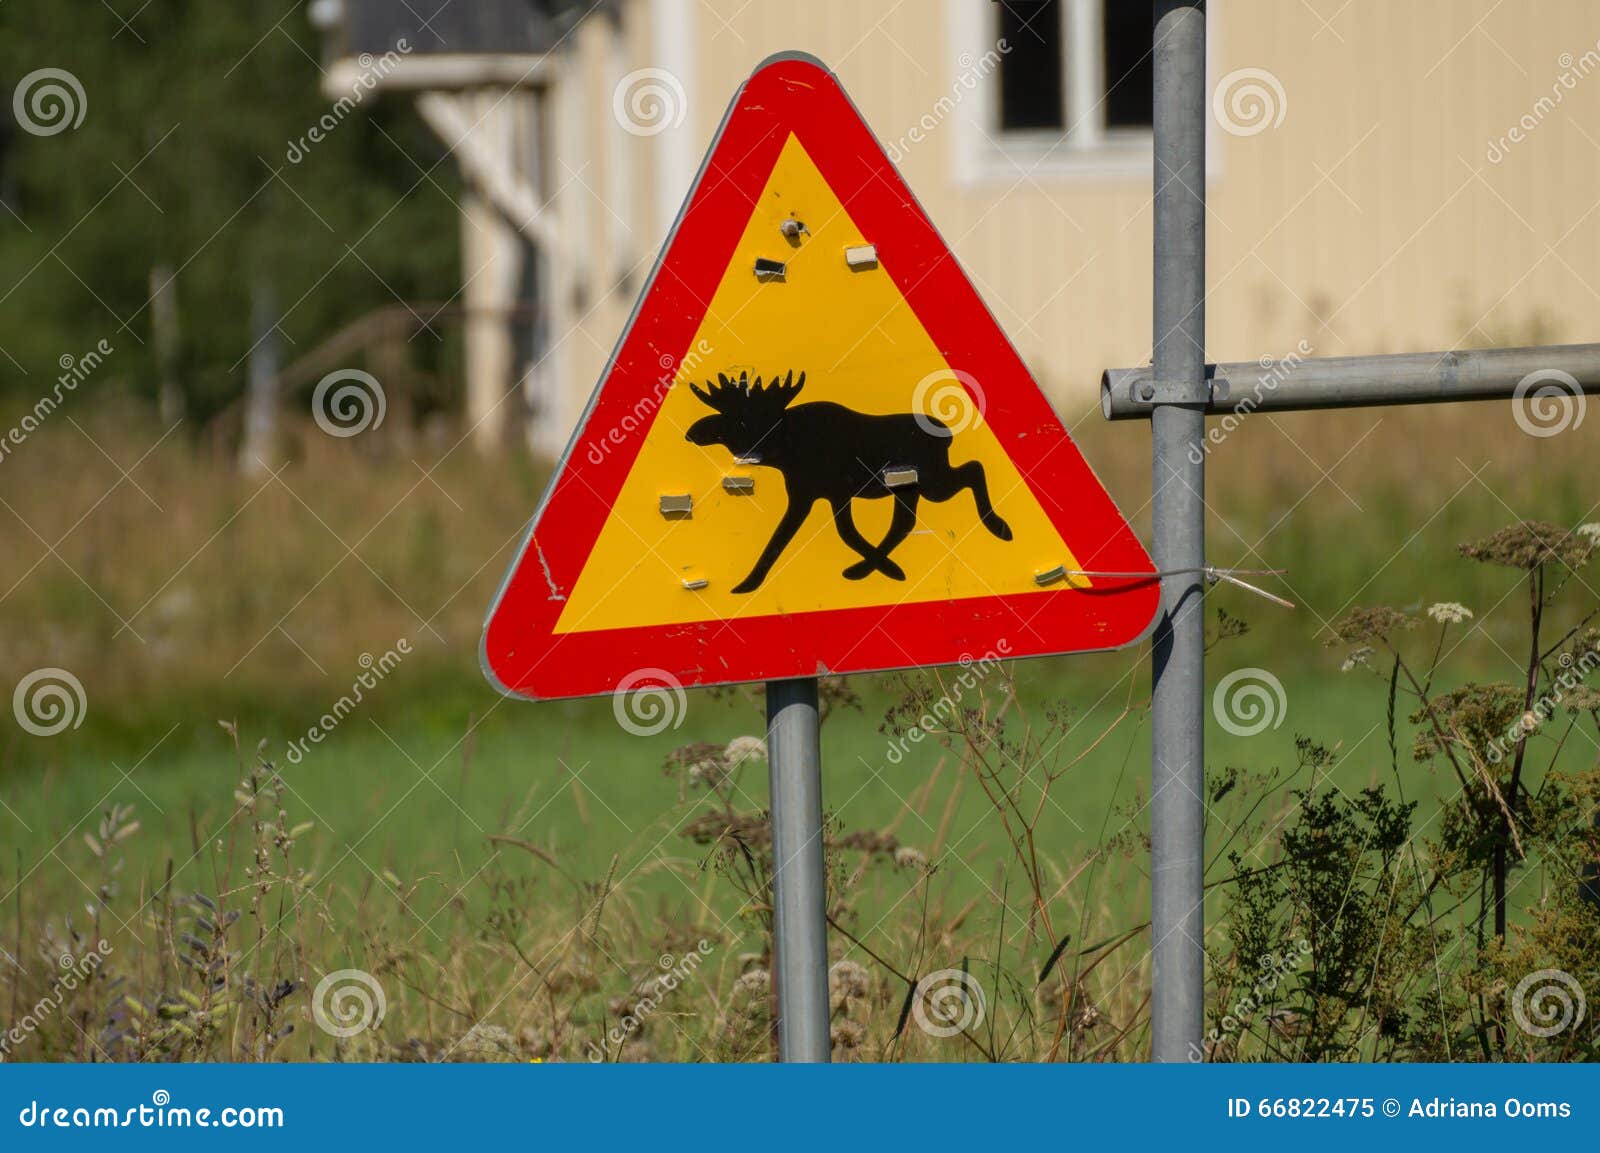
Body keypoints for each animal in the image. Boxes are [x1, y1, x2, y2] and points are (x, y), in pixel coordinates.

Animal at [686, 370, 1012, 593]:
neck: (789, 449)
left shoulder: (838, 491)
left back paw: (999, 526)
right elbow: (780, 539)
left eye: (758, 421)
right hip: (911, 488)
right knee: (904, 523)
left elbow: (845, 533)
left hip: (932, 482)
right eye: (734, 420)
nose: (692, 435)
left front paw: (889, 570)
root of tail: (947, 435)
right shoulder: (804, 495)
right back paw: (864, 570)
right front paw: (747, 584)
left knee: (974, 468)